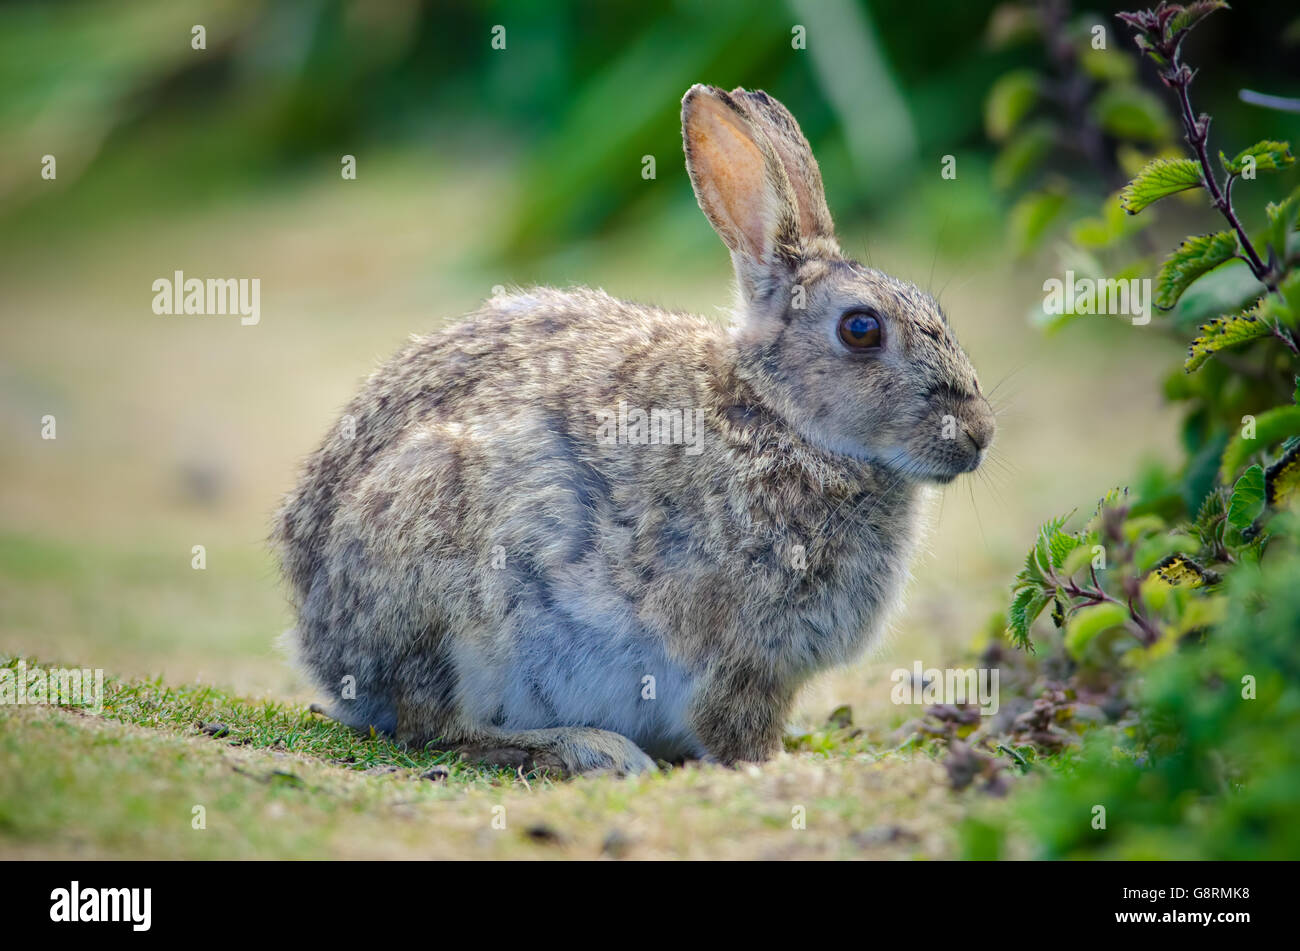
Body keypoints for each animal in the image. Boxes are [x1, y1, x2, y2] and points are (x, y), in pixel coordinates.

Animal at [271, 84, 995, 776]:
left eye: (934, 311)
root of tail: (321, 642)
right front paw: (773, 765)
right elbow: (734, 724)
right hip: (454, 591)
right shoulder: (737, 656)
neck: (778, 414)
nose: (980, 433)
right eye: (861, 328)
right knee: (436, 726)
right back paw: (590, 749)